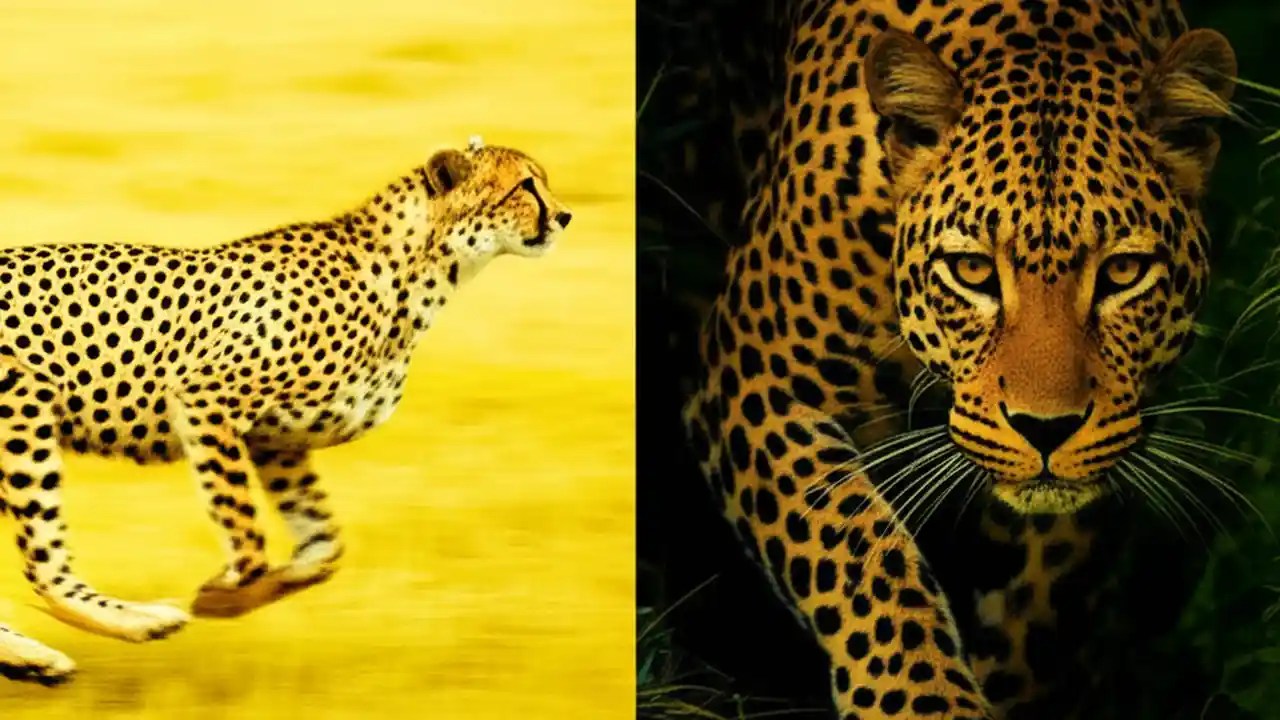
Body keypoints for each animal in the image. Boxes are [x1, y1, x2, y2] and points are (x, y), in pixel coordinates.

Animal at [0, 135, 572, 685]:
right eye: (525, 185)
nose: (565, 216)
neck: (417, 271)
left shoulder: (278, 440)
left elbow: (324, 545)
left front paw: (233, 595)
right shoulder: (205, 398)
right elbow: (247, 532)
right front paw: (223, 595)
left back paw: (34, 661)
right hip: (21, 413)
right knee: (46, 567)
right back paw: (137, 624)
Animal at [668, 0, 1238, 717]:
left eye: (1123, 273)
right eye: (972, 271)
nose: (1046, 430)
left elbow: (1035, 620)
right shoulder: (756, 376)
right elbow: (858, 550)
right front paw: (923, 700)